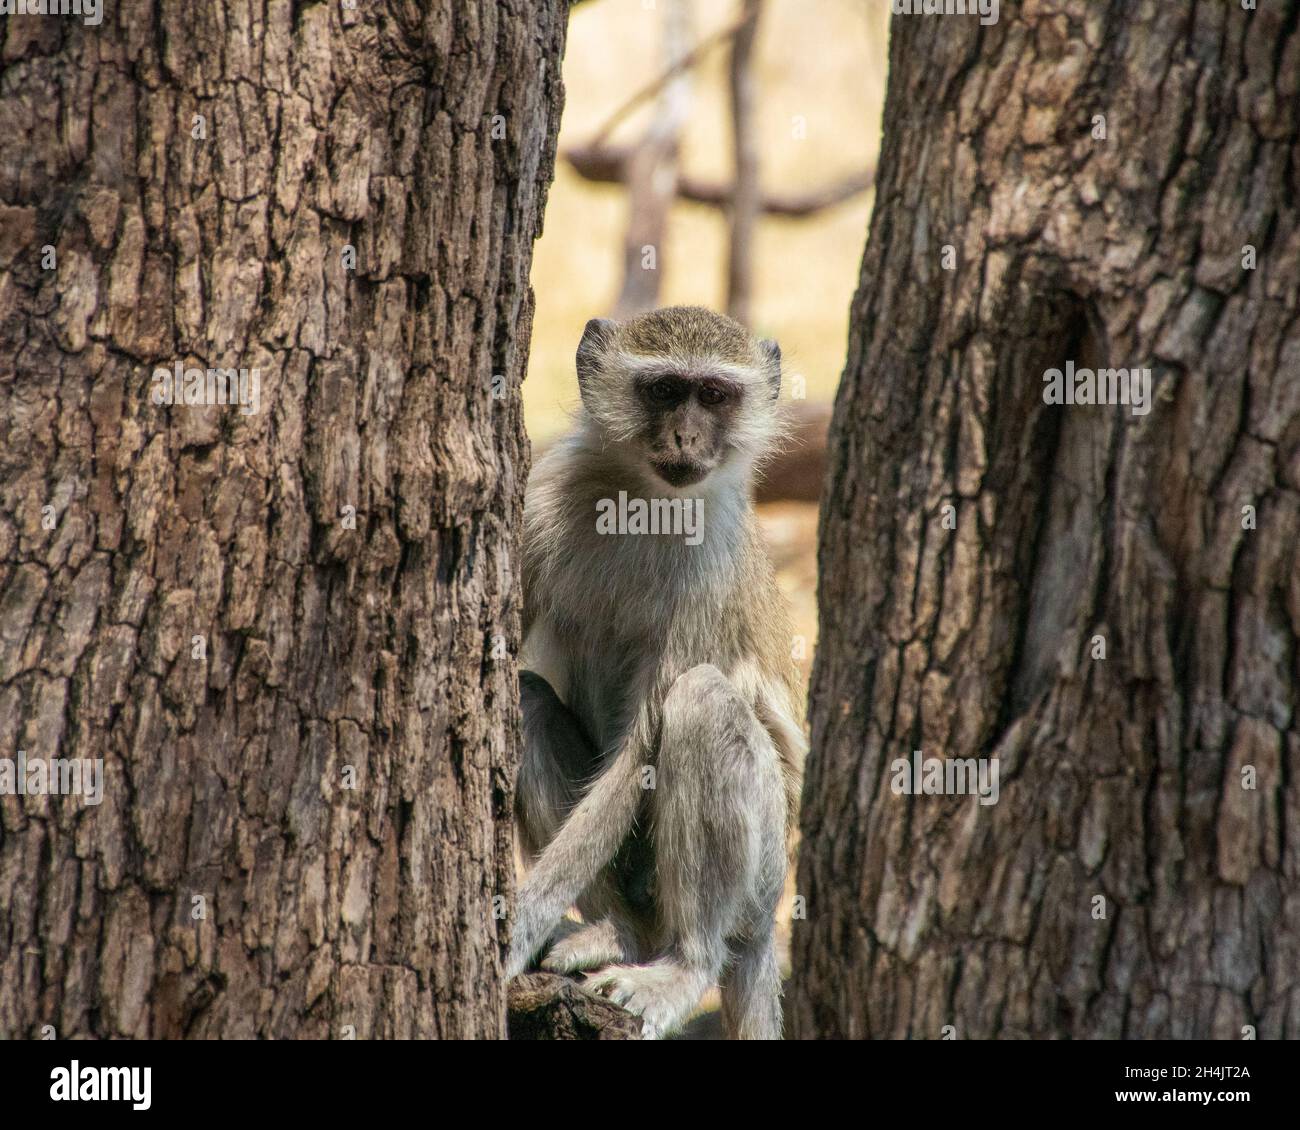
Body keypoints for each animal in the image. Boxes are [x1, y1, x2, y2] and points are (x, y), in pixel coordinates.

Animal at [507, 306, 807, 1040]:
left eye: (716, 395)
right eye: (666, 390)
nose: (685, 437)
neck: (646, 499)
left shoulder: (709, 570)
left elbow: (641, 749)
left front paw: (515, 925)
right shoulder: (542, 498)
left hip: (764, 875)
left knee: (703, 703)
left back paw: (685, 965)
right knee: (528, 701)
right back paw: (618, 932)